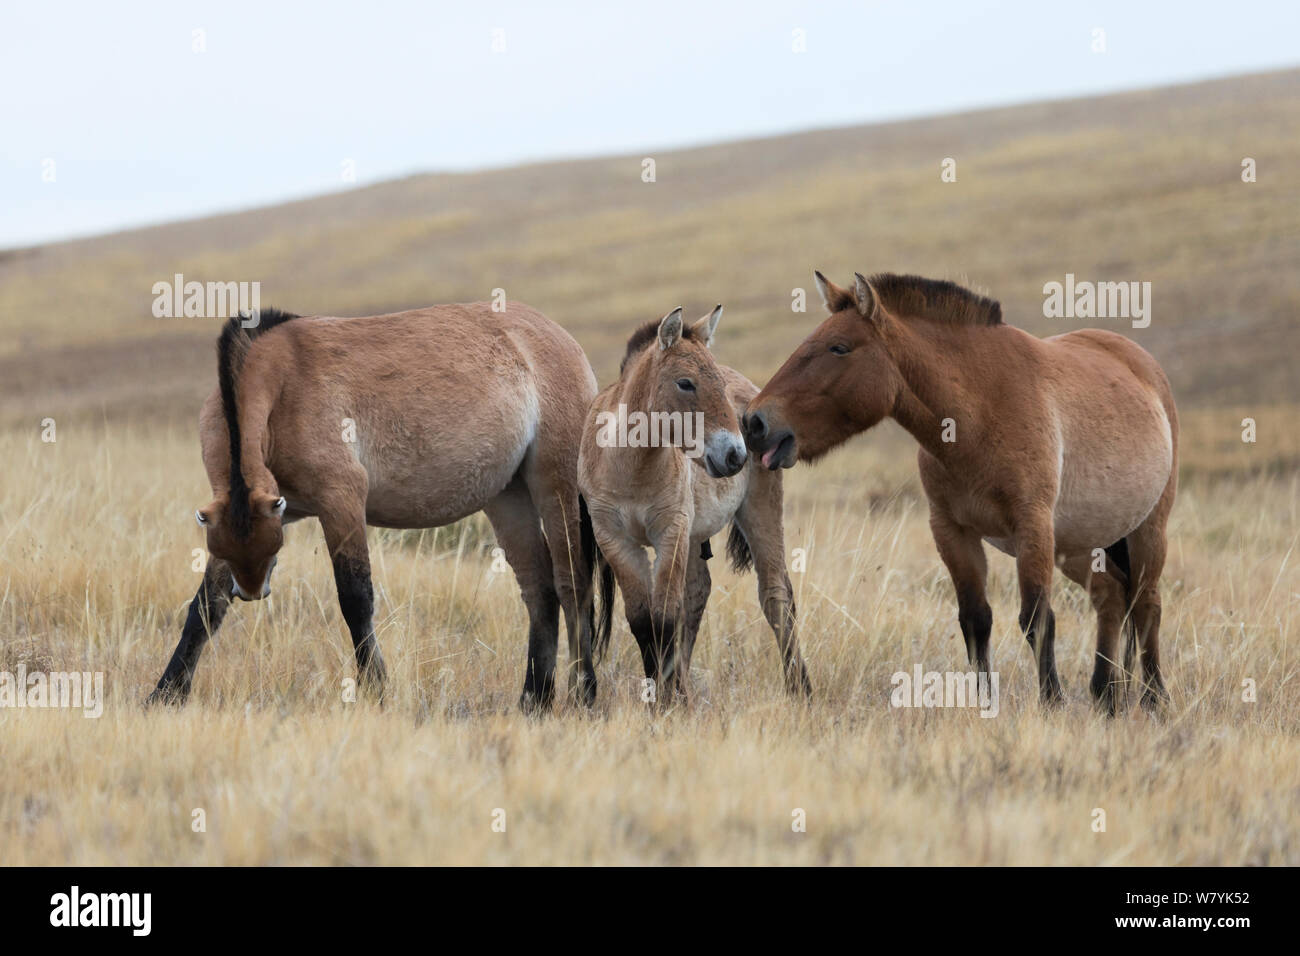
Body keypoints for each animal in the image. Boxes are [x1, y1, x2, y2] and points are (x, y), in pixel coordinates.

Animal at [148, 301, 609, 712]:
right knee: (539, 591)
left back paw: (584, 694)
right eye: (227, 552)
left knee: (573, 585)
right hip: (508, 498)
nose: (251, 592)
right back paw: (535, 700)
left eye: (272, 549)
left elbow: (355, 600)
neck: (281, 384)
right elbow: (204, 609)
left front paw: (376, 690)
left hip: (555, 488)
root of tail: (559, 338)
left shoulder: (342, 503)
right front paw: (164, 694)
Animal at [578, 305, 811, 702]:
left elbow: (665, 620)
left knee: (776, 593)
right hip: (693, 538)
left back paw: (801, 690)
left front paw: (669, 702)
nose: (735, 455)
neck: (630, 466)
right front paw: (661, 698)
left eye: (716, 380)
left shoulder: (670, 531)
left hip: (758, 511)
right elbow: (644, 623)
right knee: (698, 593)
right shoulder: (616, 541)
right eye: (685, 383)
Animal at [743, 272, 1177, 714]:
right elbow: (975, 619)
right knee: (1112, 596)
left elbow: (1037, 619)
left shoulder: (1033, 526)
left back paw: (1154, 697)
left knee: (1147, 604)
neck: (980, 412)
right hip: (1079, 544)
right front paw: (985, 705)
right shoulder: (951, 530)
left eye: (839, 347)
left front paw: (1051, 703)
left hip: (1147, 530)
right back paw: (1107, 694)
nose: (754, 422)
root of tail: (1142, 365)